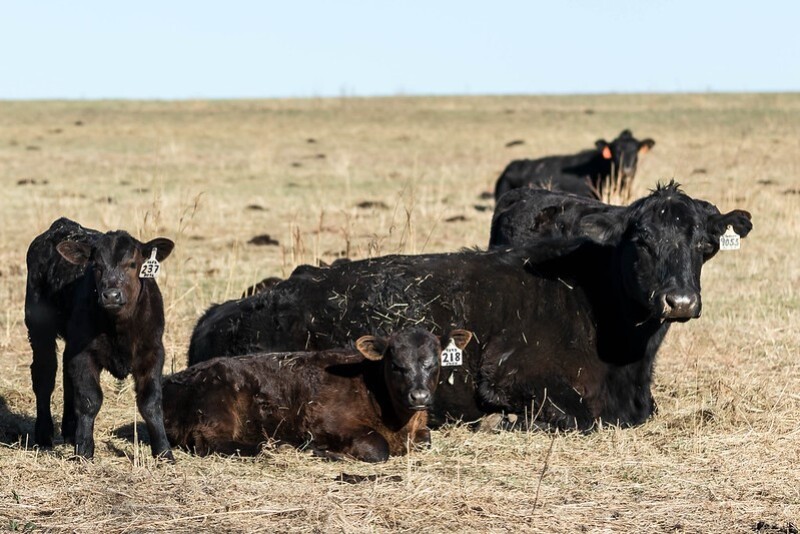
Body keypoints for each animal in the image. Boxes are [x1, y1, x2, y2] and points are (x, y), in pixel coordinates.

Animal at [25, 217, 175, 460]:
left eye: (132, 264)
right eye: (96, 266)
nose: (111, 295)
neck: (119, 328)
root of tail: (62, 225)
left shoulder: (153, 352)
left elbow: (150, 402)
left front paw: (163, 451)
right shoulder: (84, 355)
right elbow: (90, 400)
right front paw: (84, 450)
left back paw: (70, 431)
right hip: (38, 326)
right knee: (45, 375)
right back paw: (44, 434)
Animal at [163, 328, 472, 462]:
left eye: (434, 363)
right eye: (396, 365)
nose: (419, 396)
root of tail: (171, 381)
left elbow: (426, 440)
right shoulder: (325, 422)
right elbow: (377, 448)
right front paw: (330, 452)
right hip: (216, 410)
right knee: (210, 443)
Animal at [187, 182, 752, 431]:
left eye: (705, 244)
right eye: (641, 242)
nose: (680, 301)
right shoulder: (512, 376)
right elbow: (577, 416)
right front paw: (496, 422)